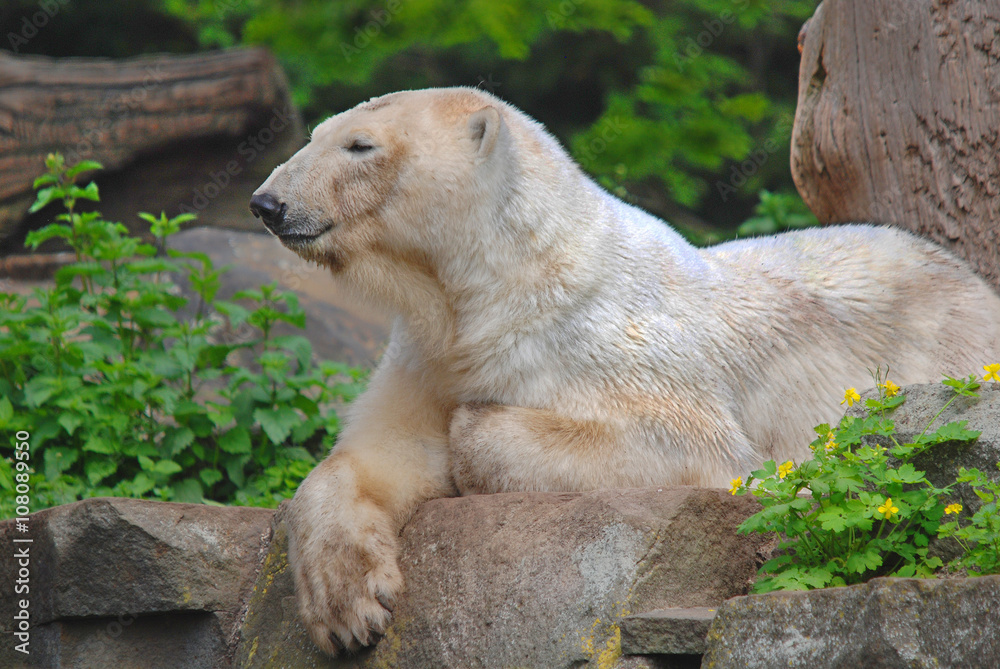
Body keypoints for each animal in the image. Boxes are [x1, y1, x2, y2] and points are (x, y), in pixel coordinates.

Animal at [249, 86, 1000, 655]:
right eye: (317, 133)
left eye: (360, 145)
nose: (266, 203)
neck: (499, 285)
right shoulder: (429, 353)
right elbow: (377, 453)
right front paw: (349, 606)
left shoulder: (604, 338)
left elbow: (691, 446)